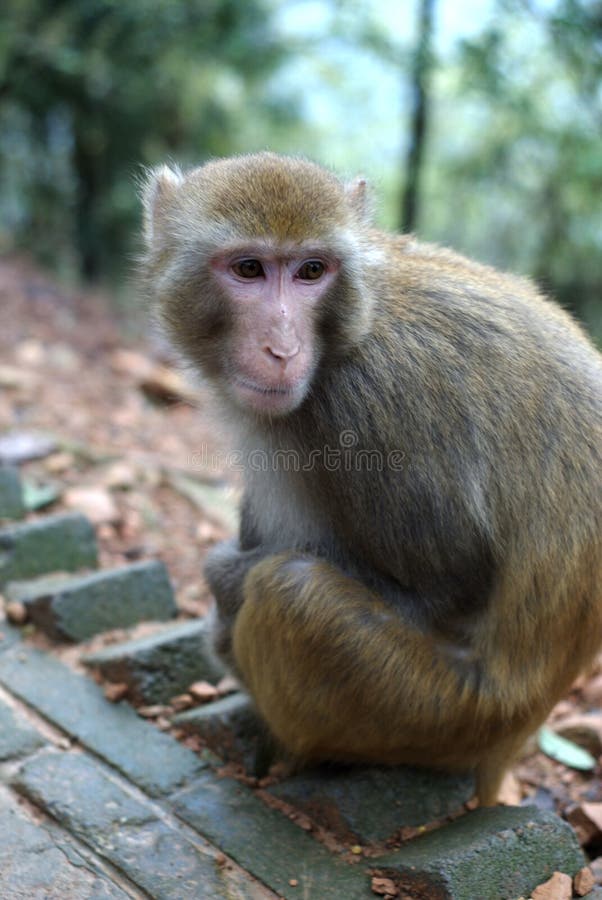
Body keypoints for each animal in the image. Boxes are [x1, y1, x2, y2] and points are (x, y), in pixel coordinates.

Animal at [140, 152, 602, 805]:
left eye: (311, 271)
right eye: (249, 268)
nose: (282, 349)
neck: (351, 329)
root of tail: (513, 743)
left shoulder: (370, 403)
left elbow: (456, 580)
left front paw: (224, 577)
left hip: (439, 714)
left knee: (292, 592)